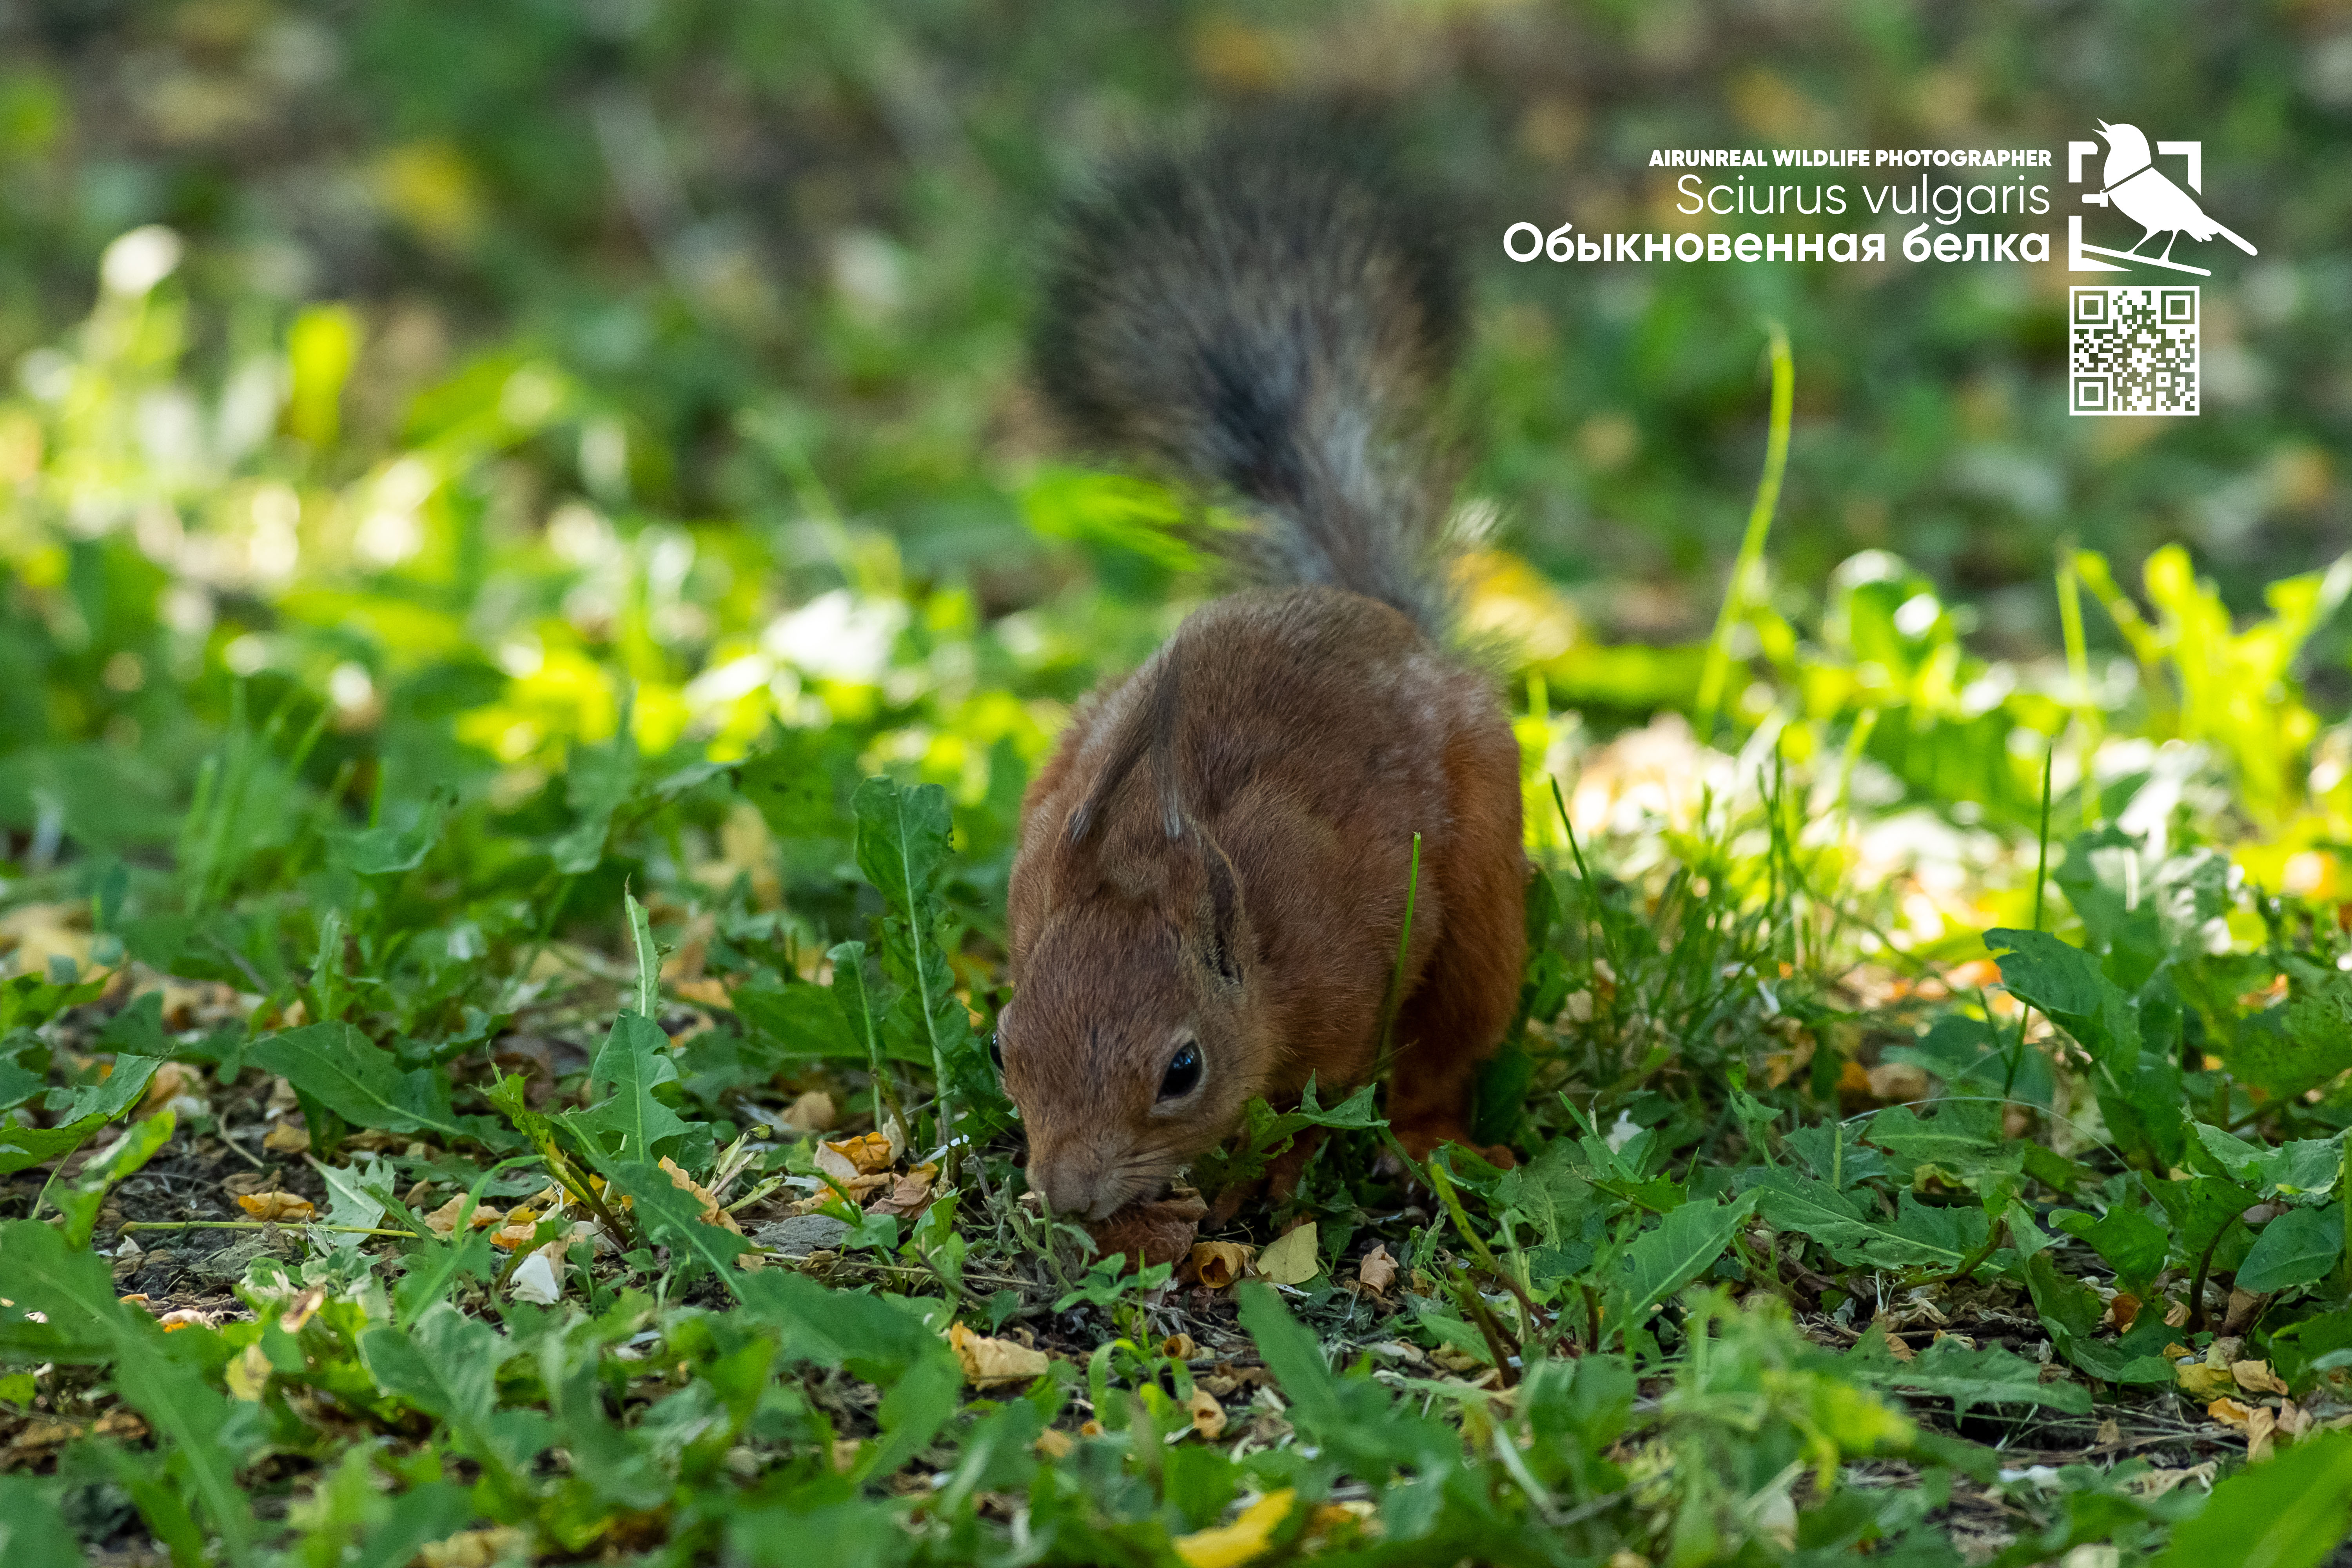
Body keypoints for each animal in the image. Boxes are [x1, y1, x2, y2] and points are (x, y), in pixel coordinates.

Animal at [993, 125, 1524, 1222]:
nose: (1065, 1193)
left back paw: (1429, 1139)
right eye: (1000, 1045)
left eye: (1182, 1069)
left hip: (1485, 899)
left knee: (1446, 1051)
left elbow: (1321, 1102)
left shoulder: (1351, 972)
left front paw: (1266, 1176)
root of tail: (1386, 620)